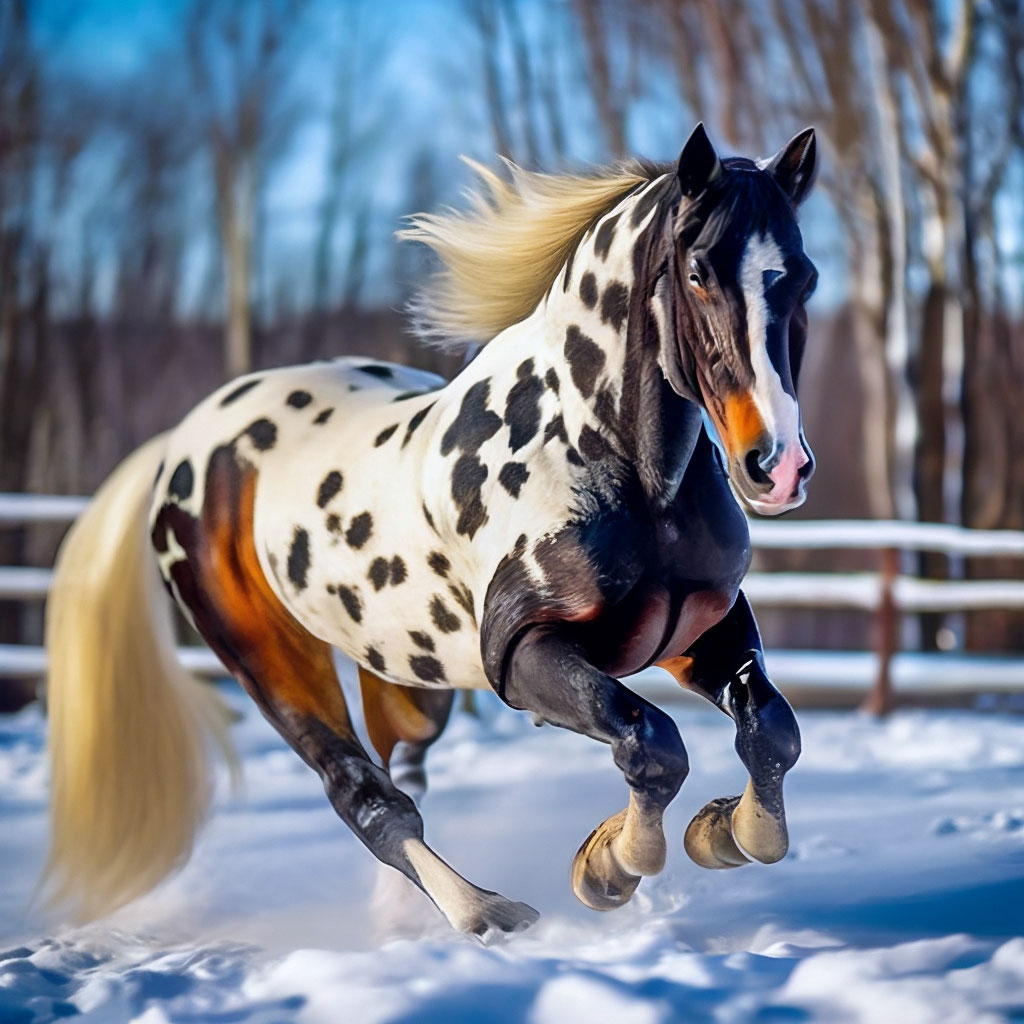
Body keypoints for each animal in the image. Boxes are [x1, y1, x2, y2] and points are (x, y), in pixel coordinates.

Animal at [44, 123, 819, 940]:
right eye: (698, 271)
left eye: (803, 277)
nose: (777, 466)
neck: (618, 465)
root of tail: (181, 445)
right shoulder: (524, 655)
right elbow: (653, 743)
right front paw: (609, 867)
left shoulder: (699, 629)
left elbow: (771, 728)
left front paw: (727, 833)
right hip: (270, 660)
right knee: (366, 798)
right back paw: (485, 912)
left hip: (406, 677)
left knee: (401, 770)